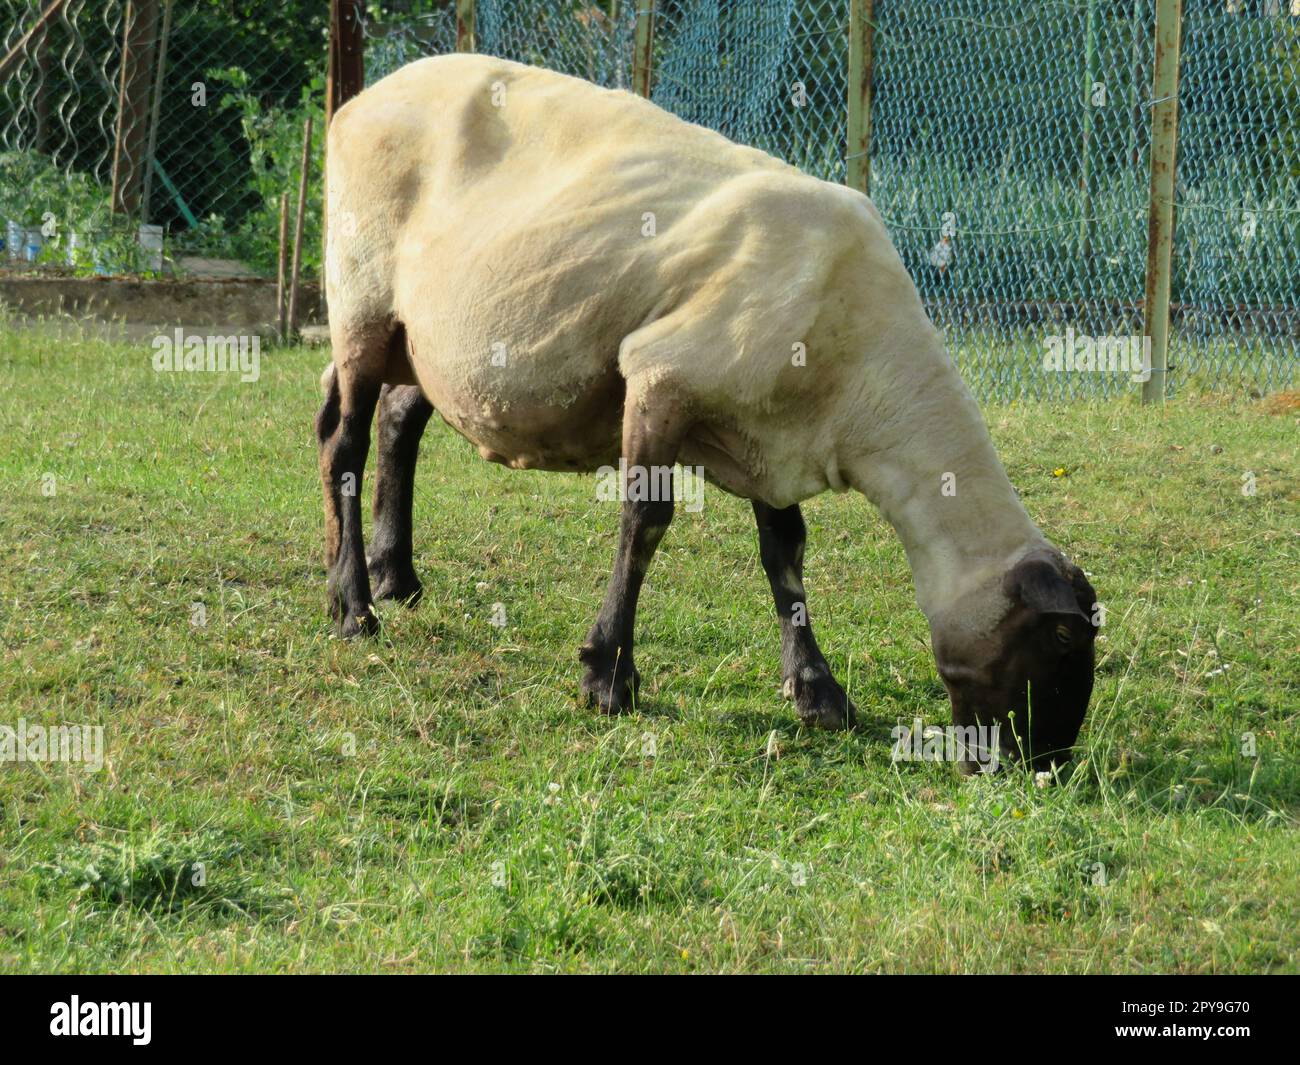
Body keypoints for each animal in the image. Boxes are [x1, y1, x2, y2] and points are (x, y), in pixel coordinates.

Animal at [318, 54, 1097, 771]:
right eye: (1061, 640)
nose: (1041, 766)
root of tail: (357, 103)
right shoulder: (661, 377)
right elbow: (646, 522)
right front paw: (608, 678)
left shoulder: (772, 432)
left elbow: (786, 553)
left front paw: (817, 690)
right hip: (360, 300)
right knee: (343, 446)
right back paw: (353, 608)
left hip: (429, 339)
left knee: (394, 423)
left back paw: (394, 579)